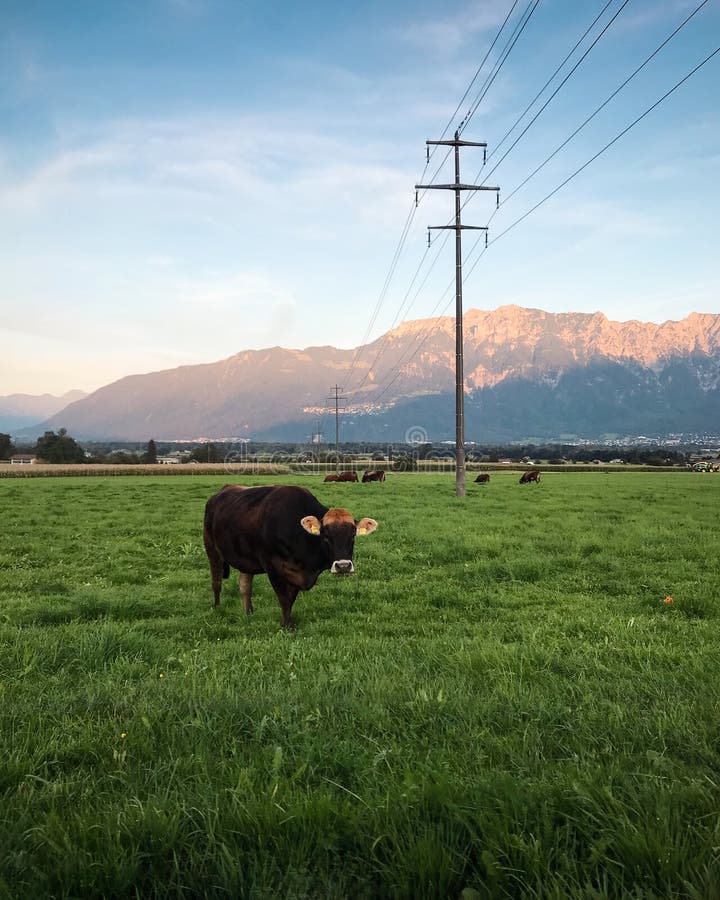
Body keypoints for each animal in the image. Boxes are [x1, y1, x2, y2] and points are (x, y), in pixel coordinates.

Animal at [203, 484, 378, 629]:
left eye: (353, 534)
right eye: (325, 535)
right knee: (216, 582)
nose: (343, 566)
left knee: (245, 587)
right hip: (211, 549)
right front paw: (287, 625)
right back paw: (217, 608)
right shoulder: (273, 568)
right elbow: (284, 598)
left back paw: (249, 613)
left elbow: (291, 598)